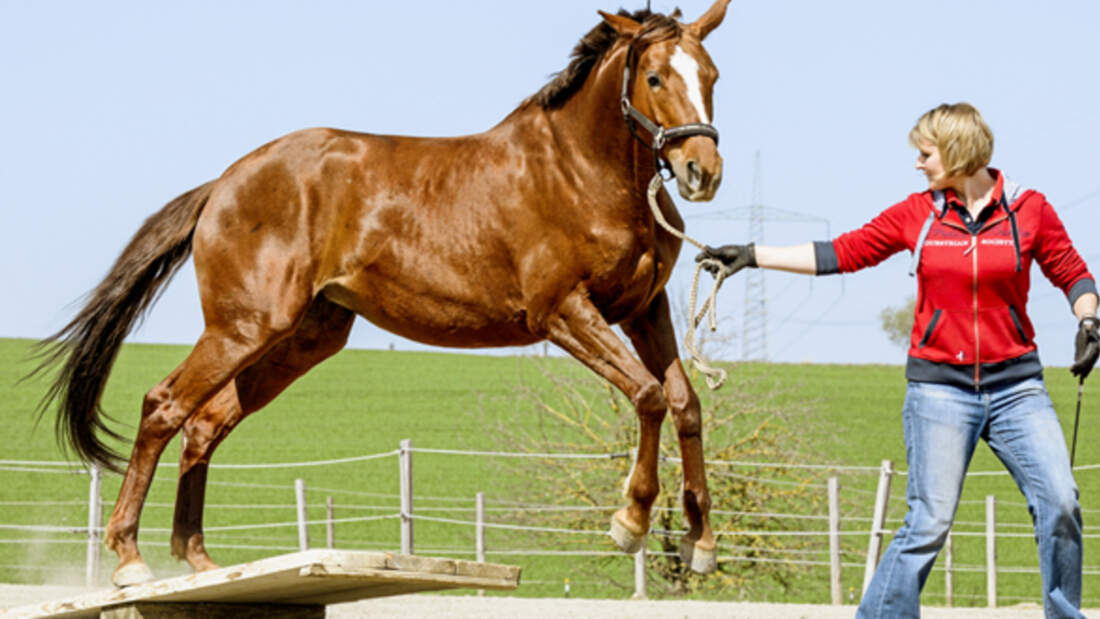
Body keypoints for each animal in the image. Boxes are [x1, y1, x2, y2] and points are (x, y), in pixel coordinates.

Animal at [37, 1, 730, 587]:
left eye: (712, 74)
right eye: (655, 78)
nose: (703, 173)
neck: (581, 174)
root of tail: (225, 183)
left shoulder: (643, 311)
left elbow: (685, 403)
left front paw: (700, 542)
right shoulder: (563, 313)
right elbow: (648, 396)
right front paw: (630, 521)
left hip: (297, 341)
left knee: (205, 423)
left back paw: (202, 561)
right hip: (245, 327)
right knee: (164, 407)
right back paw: (131, 560)